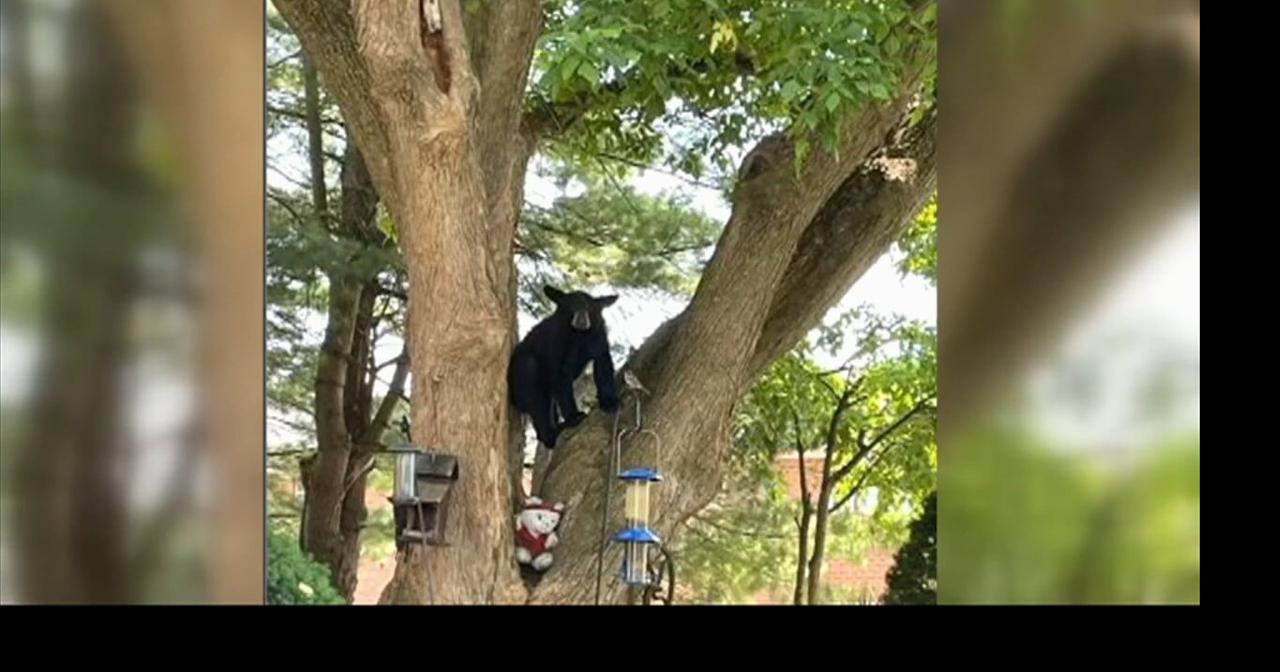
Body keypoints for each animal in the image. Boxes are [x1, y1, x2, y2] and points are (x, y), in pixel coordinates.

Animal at [508, 285, 620, 449]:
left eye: (588, 307)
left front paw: (609, 401)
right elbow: (561, 376)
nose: (581, 318)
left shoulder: (597, 337)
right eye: (572, 306)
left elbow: (603, 363)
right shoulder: (555, 342)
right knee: (536, 394)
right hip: (520, 377)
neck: (578, 335)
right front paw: (574, 417)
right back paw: (551, 434)